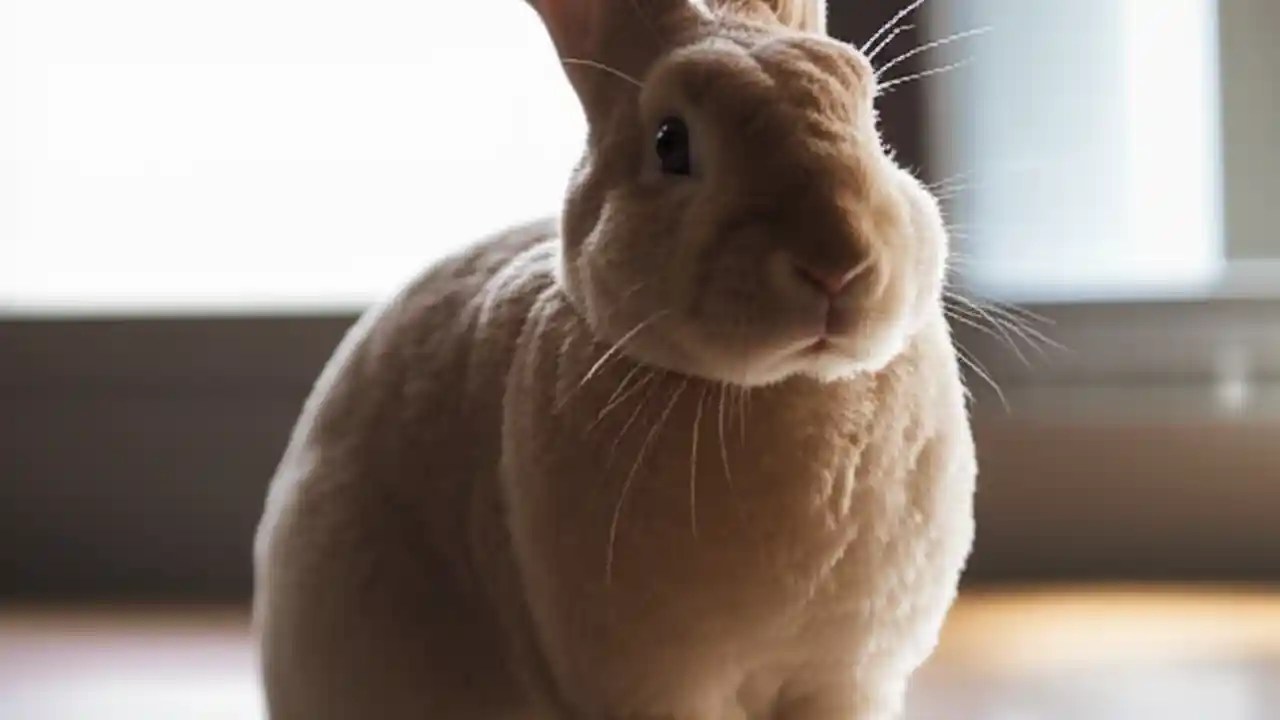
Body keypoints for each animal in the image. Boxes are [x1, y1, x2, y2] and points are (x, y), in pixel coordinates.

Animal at [253, 0, 976, 718]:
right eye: (670, 143)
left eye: (869, 116)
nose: (836, 262)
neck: (790, 383)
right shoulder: (656, 686)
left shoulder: (847, 677)